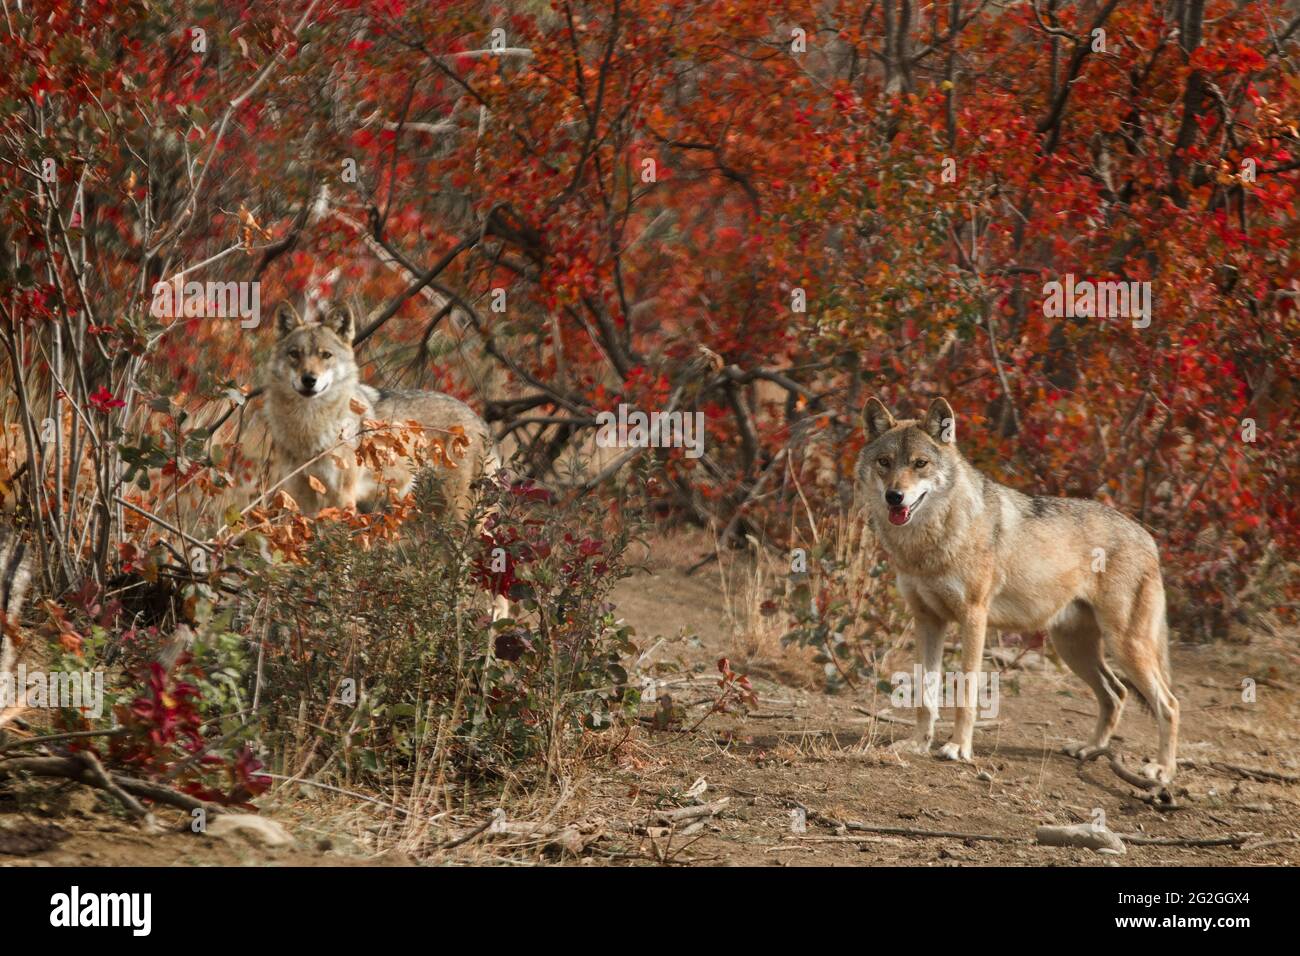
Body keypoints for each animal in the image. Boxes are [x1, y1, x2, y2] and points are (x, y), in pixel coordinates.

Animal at [856, 396, 1179, 783]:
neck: (926, 545)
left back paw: (1162, 770)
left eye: (920, 463)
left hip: (1125, 646)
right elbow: (925, 694)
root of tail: (1149, 538)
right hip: (1074, 648)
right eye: (884, 462)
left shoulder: (973, 618)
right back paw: (1090, 749)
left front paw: (958, 748)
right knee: (1115, 693)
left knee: (1169, 703)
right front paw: (918, 744)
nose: (895, 497)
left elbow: (966, 692)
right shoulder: (928, 620)